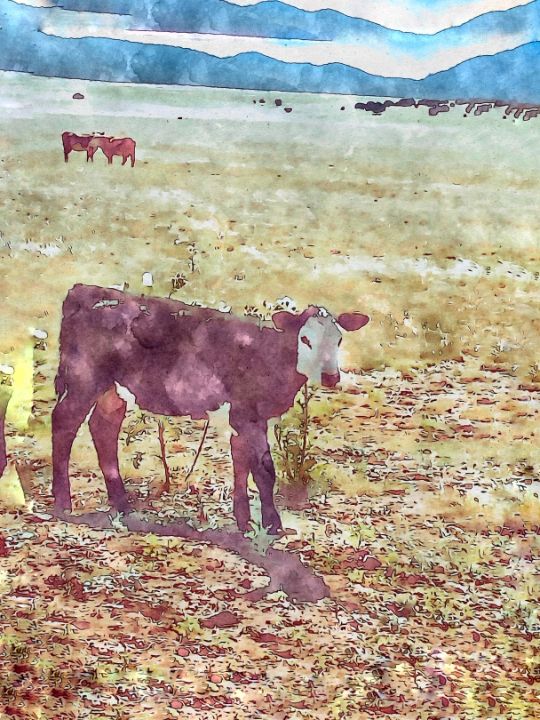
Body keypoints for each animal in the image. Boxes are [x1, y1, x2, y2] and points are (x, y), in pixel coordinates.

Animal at [51, 285, 369, 533]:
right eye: (305, 339)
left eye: (339, 339)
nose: (331, 377)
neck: (268, 354)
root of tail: (85, 290)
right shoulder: (247, 413)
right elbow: (264, 469)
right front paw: (272, 524)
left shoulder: (243, 418)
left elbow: (241, 463)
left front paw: (243, 520)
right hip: (84, 377)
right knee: (64, 422)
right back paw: (63, 502)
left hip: (113, 387)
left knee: (103, 427)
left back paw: (121, 503)